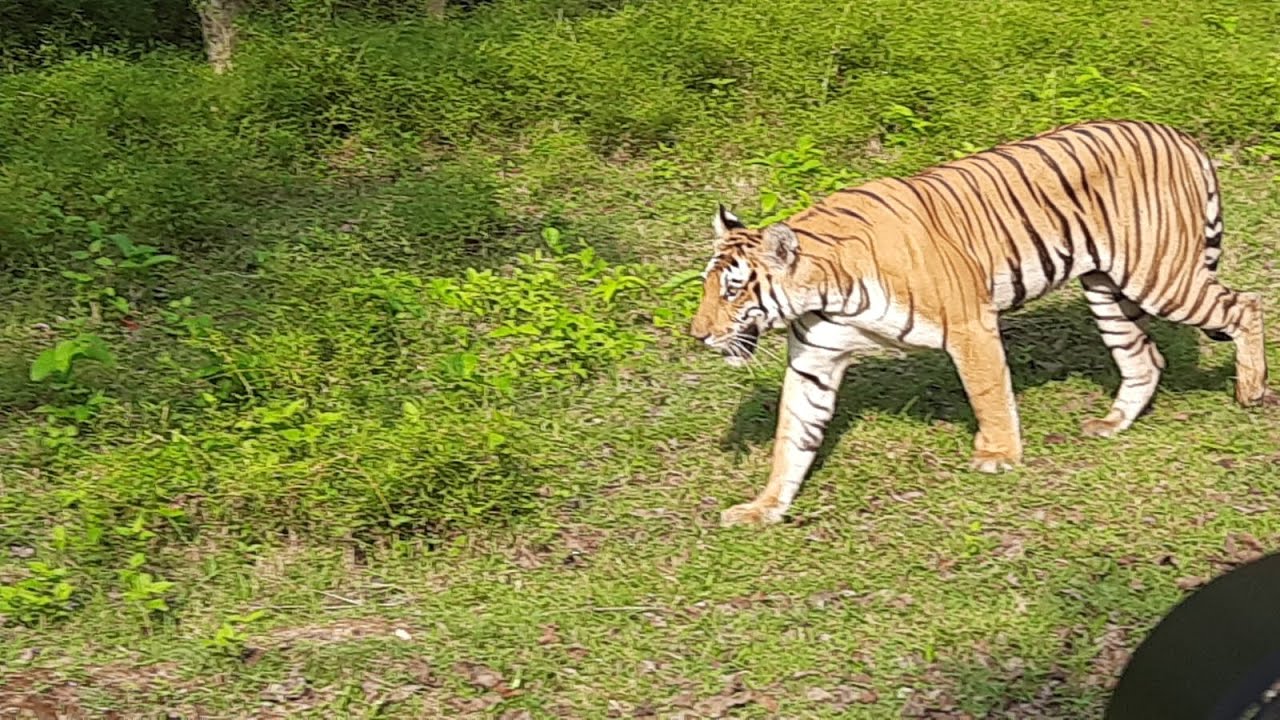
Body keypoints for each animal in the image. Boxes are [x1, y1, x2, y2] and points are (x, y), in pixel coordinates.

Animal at [689, 119, 1276, 528]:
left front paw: (997, 456)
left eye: (734, 289)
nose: (698, 335)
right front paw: (763, 507)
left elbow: (988, 394)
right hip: (1109, 290)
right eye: (707, 286)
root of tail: (1180, 135)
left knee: (1246, 304)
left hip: (1160, 276)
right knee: (1144, 357)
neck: (823, 290)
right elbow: (792, 437)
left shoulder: (970, 326)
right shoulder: (815, 362)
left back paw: (1250, 391)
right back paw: (1112, 423)